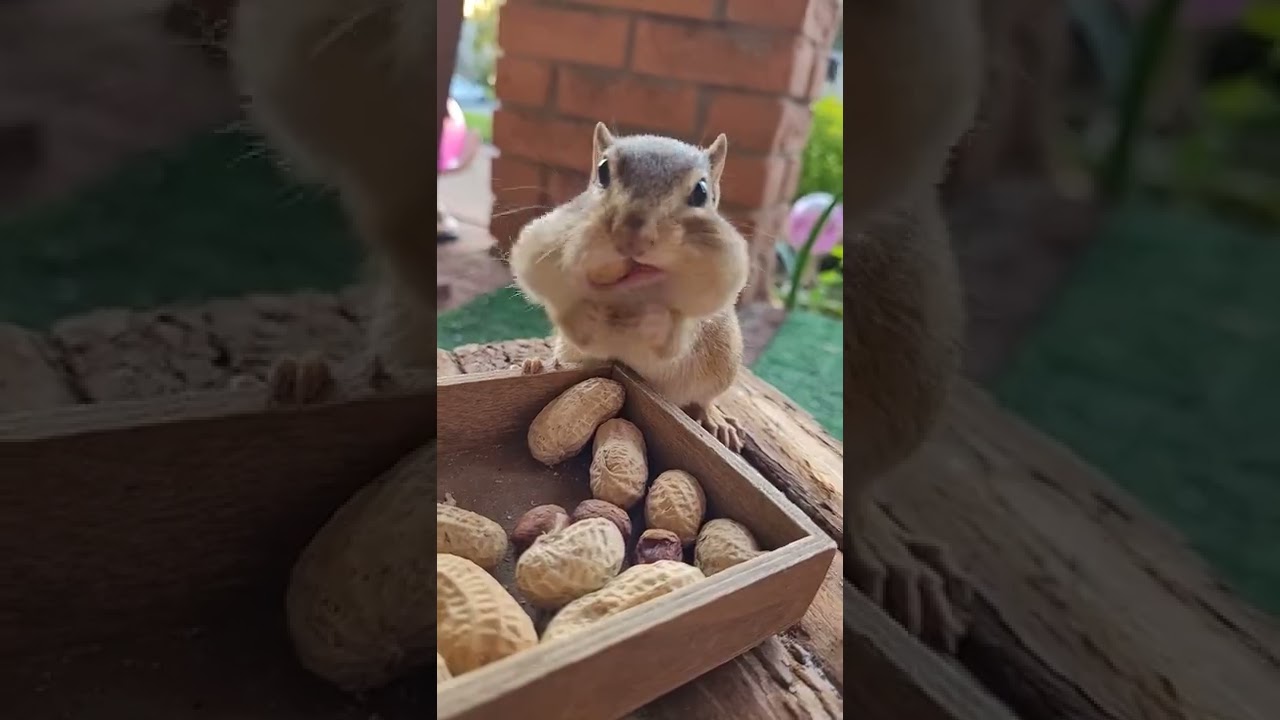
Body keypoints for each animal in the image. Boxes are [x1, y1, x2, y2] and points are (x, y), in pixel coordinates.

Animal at [509, 124, 751, 451]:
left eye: (701, 192)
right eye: (602, 171)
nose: (631, 236)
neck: (627, 298)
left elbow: (673, 340)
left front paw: (652, 316)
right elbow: (575, 323)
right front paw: (589, 313)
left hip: (722, 362)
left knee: (704, 398)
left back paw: (715, 419)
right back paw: (535, 364)